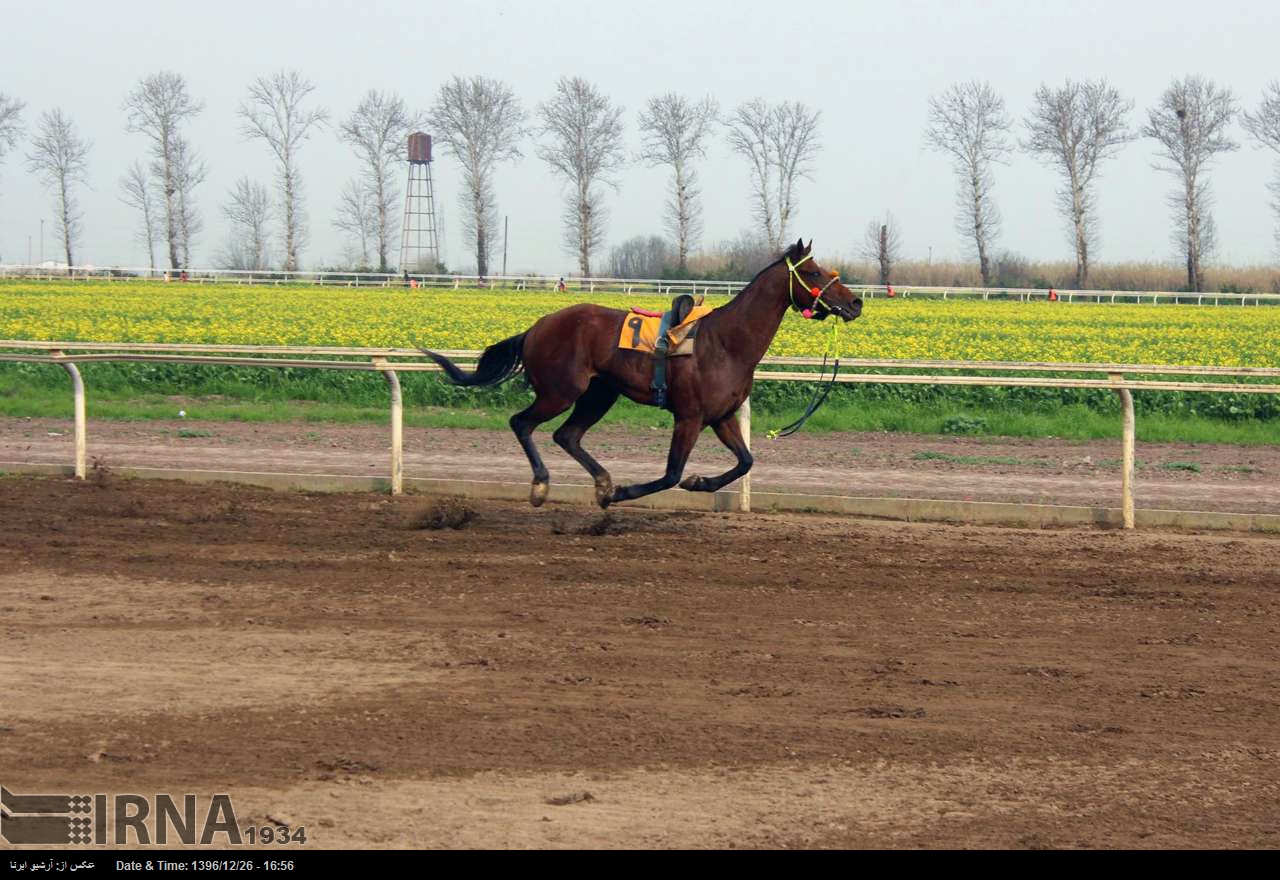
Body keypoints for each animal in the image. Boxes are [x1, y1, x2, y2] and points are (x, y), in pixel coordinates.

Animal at [425, 239, 863, 508]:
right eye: (816, 273)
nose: (856, 302)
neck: (726, 342)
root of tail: (536, 327)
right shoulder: (689, 417)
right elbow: (671, 474)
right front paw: (627, 491)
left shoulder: (720, 416)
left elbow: (745, 462)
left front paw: (699, 483)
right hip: (561, 391)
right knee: (522, 423)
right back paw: (543, 484)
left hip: (599, 393)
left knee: (566, 435)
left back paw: (601, 481)